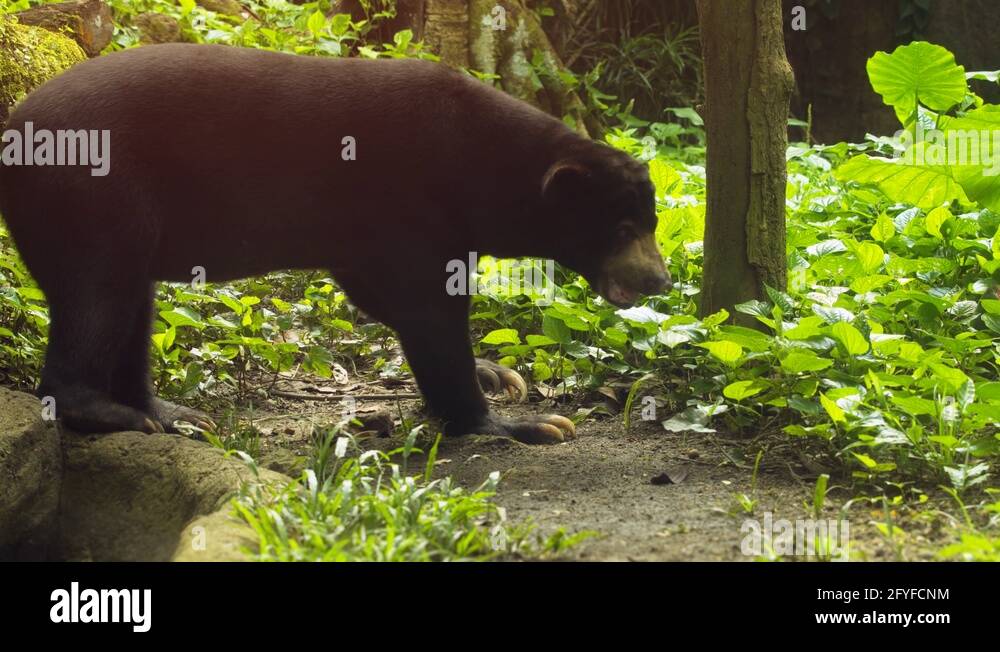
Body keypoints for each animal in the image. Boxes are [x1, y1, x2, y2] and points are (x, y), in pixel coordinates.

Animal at [0, 43, 669, 444]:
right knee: (99, 296)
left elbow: (388, 300)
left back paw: (171, 414)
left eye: (654, 224)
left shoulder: (370, 235)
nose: (660, 280)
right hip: (94, 196)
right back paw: (114, 413)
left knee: (131, 306)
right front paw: (517, 422)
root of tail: (13, 135)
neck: (481, 163)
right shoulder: (407, 203)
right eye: (621, 230)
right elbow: (427, 309)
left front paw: (498, 374)